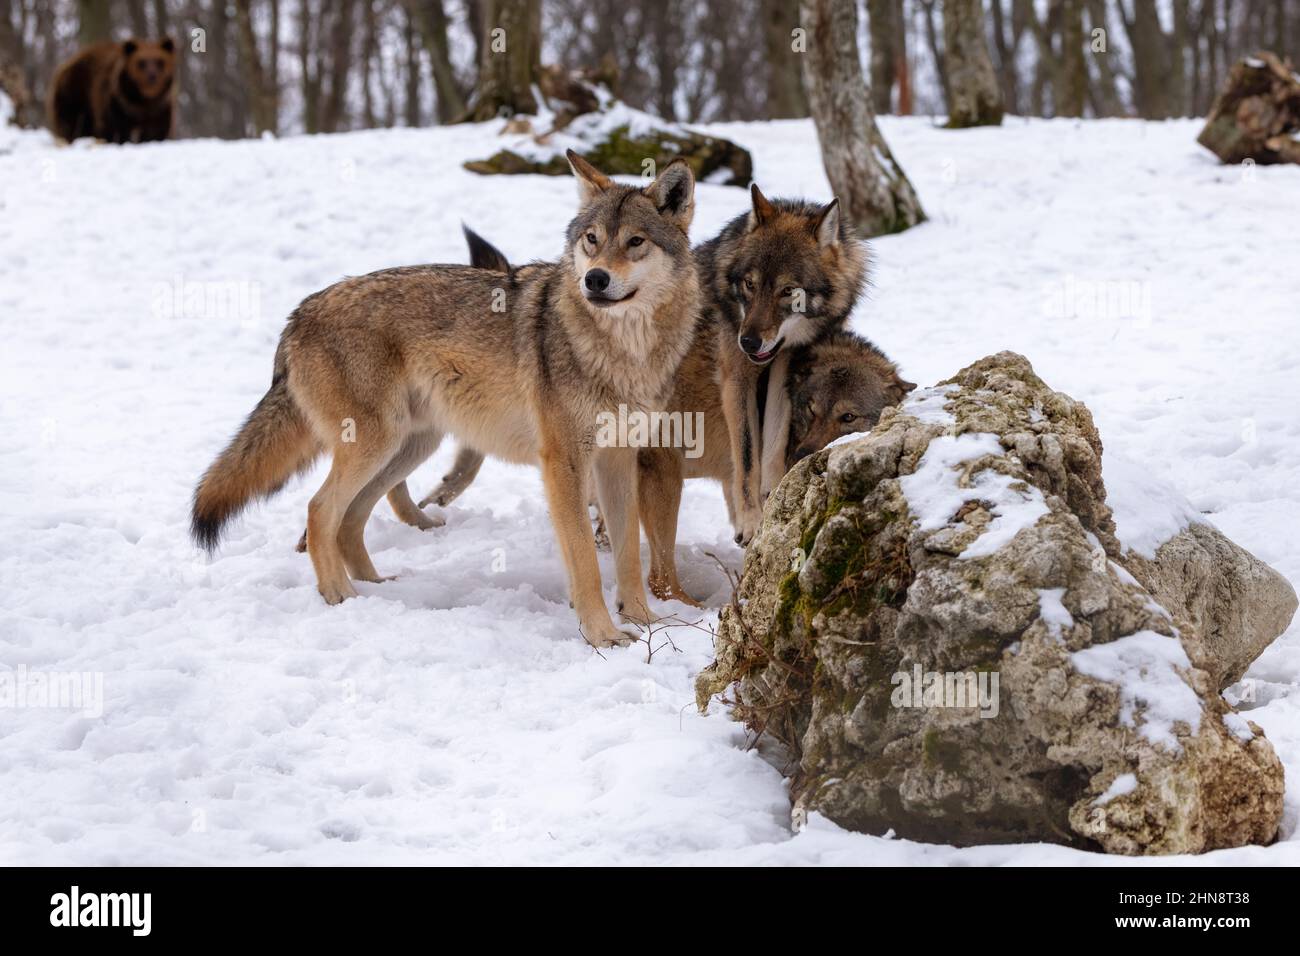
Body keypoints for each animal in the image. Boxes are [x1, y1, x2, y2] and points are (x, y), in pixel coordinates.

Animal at [191, 152, 699, 648]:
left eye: (635, 242)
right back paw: (341, 596)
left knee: (353, 516)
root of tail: (299, 313)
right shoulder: (563, 462)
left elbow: (629, 553)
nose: (594, 279)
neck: (623, 349)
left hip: (409, 446)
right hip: (376, 444)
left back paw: (377, 588)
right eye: (592, 240)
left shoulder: (618, 458)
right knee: (320, 511)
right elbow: (586, 561)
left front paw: (645, 620)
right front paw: (602, 636)